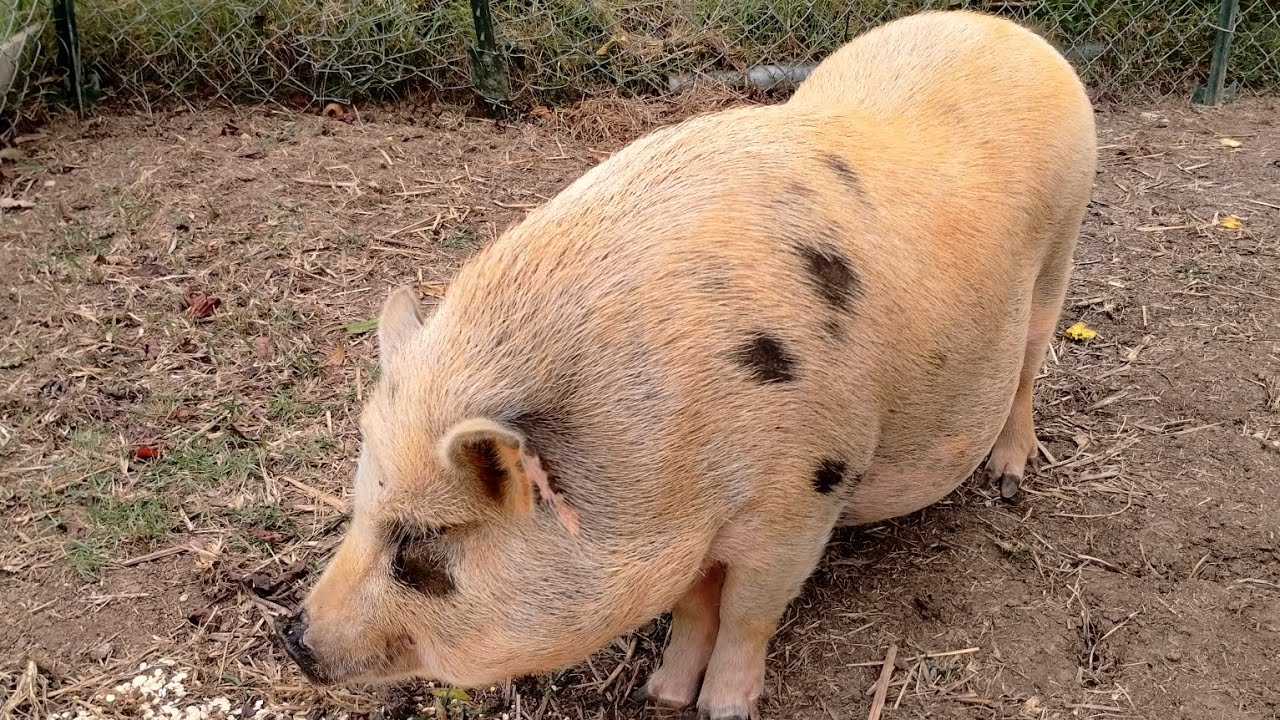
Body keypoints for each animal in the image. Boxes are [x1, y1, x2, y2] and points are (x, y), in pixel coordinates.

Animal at [277, 9, 1096, 719]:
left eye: (422, 540)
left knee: (1031, 363)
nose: (292, 637)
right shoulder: (691, 534)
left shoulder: (805, 494)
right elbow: (695, 608)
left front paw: (723, 708)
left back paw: (1010, 476)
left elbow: (748, 611)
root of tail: (1003, 28)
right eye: (361, 504)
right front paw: (663, 696)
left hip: (1062, 245)